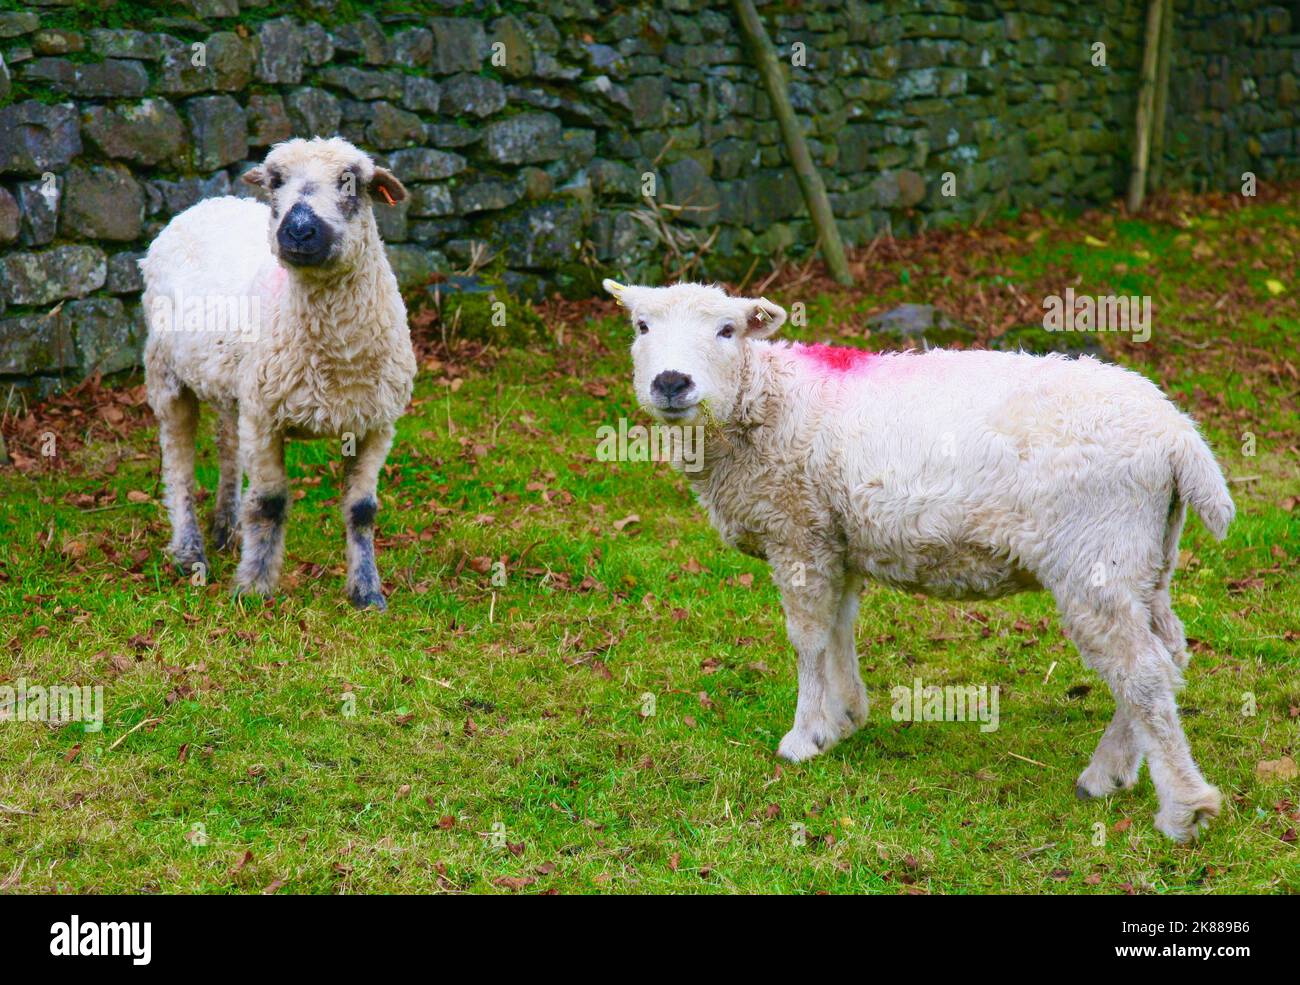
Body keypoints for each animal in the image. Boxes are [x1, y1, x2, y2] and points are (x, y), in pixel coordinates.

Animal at [140, 137, 417, 609]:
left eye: (350, 180)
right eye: (274, 182)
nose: (299, 230)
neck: (338, 358)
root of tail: (206, 203)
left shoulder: (377, 424)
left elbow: (362, 511)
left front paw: (367, 592)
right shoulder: (265, 418)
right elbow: (268, 503)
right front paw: (253, 588)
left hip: (234, 386)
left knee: (228, 444)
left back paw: (227, 528)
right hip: (167, 374)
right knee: (178, 463)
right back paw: (190, 551)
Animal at [603, 278, 1235, 843]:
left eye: (727, 330)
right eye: (642, 327)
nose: (671, 382)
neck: (767, 399)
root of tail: (1178, 436)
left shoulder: (797, 529)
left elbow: (807, 638)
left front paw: (805, 737)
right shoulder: (835, 535)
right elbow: (839, 627)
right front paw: (844, 716)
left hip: (1094, 553)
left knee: (1143, 671)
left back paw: (1182, 810)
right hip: (1146, 553)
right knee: (1168, 652)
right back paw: (1113, 771)